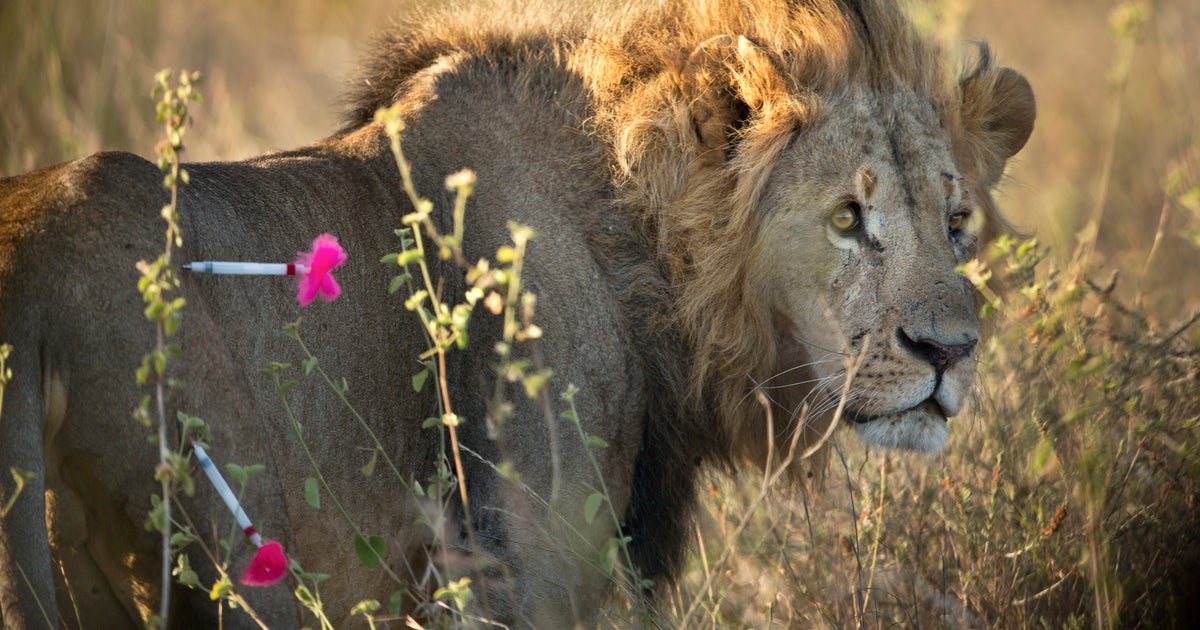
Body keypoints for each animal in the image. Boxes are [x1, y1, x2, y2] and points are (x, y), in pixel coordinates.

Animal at [0, 0, 1034, 626]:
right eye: (848, 218)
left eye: (956, 223)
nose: (949, 352)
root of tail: (29, 287)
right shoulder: (532, 565)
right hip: (244, 551)